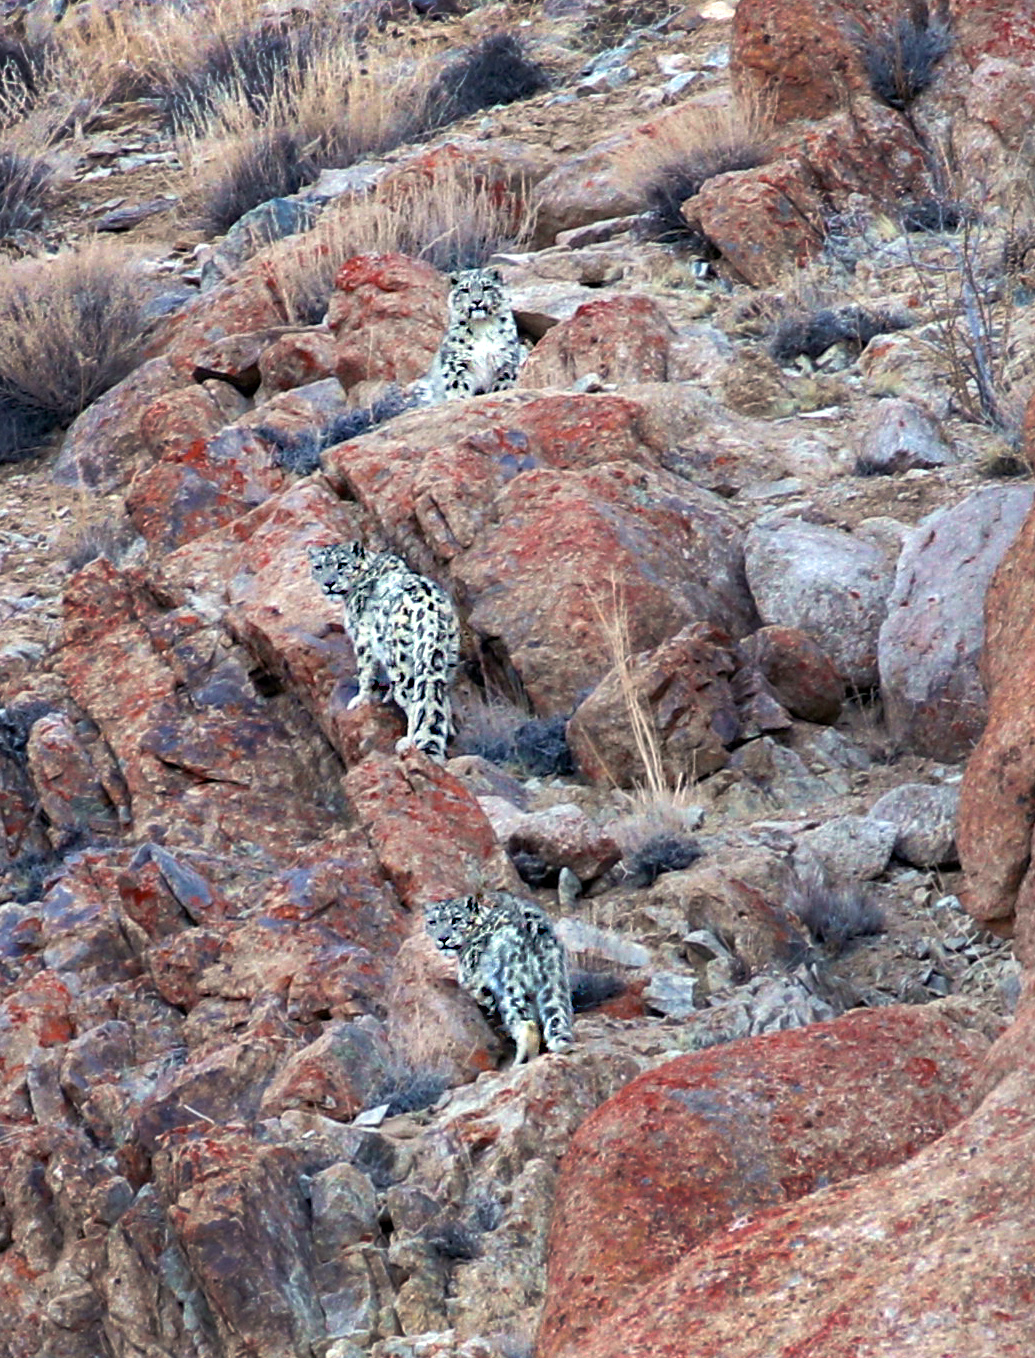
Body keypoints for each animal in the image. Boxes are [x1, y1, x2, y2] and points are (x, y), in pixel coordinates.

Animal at [309, 541, 460, 762]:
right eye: (318, 567)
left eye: (342, 564)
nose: (329, 583)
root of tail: (429, 612)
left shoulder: (362, 637)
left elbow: (365, 671)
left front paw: (360, 699)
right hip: (448, 656)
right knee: (439, 693)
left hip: (399, 659)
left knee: (413, 699)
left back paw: (409, 742)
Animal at [411, 266, 522, 405]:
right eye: (465, 289)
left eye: (486, 287)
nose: (477, 301)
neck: (482, 326)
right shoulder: (457, 360)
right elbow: (457, 383)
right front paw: (460, 398)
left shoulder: (506, 359)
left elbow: (503, 382)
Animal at [424, 890, 575, 1065]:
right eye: (432, 922)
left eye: (456, 919)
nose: (443, 938)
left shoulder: (473, 979)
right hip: (554, 981)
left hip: (506, 984)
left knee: (525, 1022)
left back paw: (518, 1063)